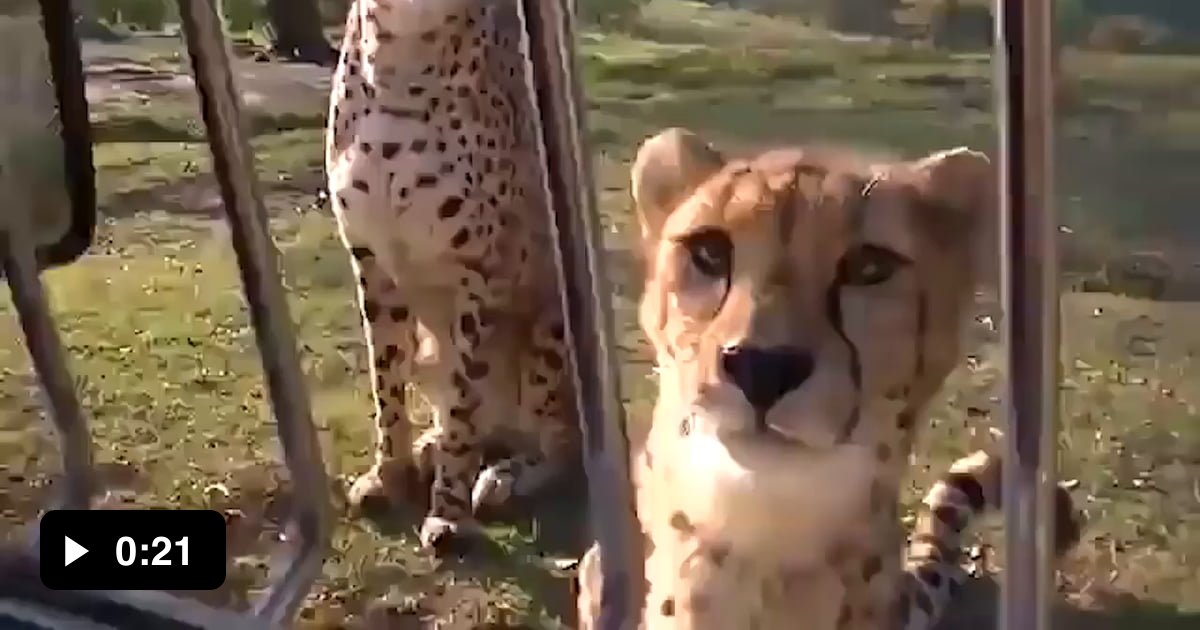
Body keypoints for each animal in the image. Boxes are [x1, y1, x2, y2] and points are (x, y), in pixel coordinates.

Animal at [324, 0, 578, 552]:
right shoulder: (371, 261)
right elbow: (386, 383)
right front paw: (388, 475)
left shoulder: (475, 276)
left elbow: (464, 401)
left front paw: (449, 514)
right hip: (428, 349)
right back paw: (431, 448)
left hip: (553, 328)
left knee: (558, 442)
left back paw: (503, 477)